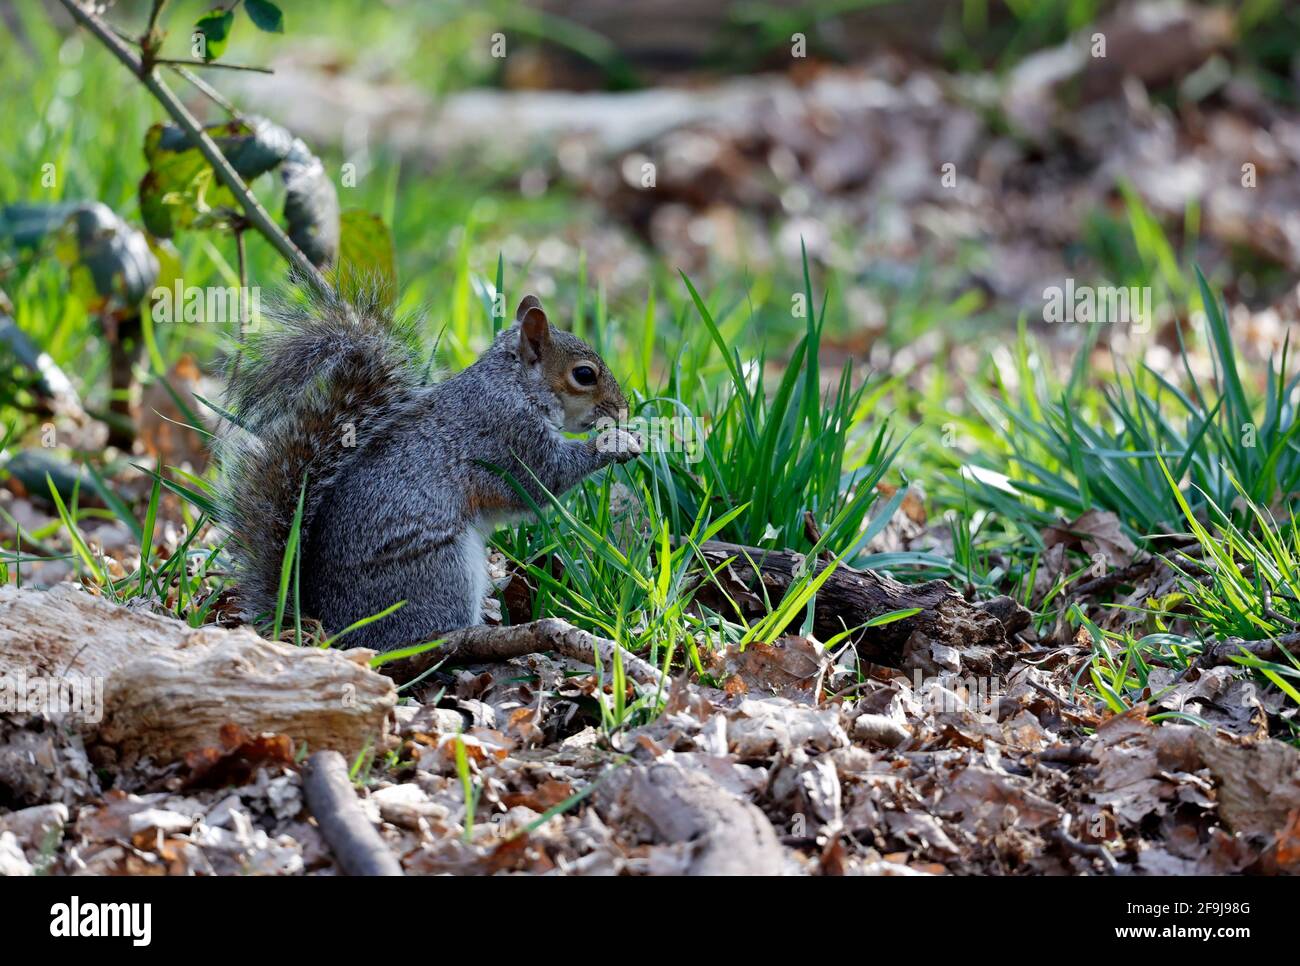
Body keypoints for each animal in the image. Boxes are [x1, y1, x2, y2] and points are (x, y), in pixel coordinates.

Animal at [215, 285, 642, 650]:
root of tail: (329, 626)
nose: (623, 409)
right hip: (441, 571)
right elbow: (545, 479)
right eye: (584, 374)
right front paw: (615, 443)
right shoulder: (511, 438)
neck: (515, 385)